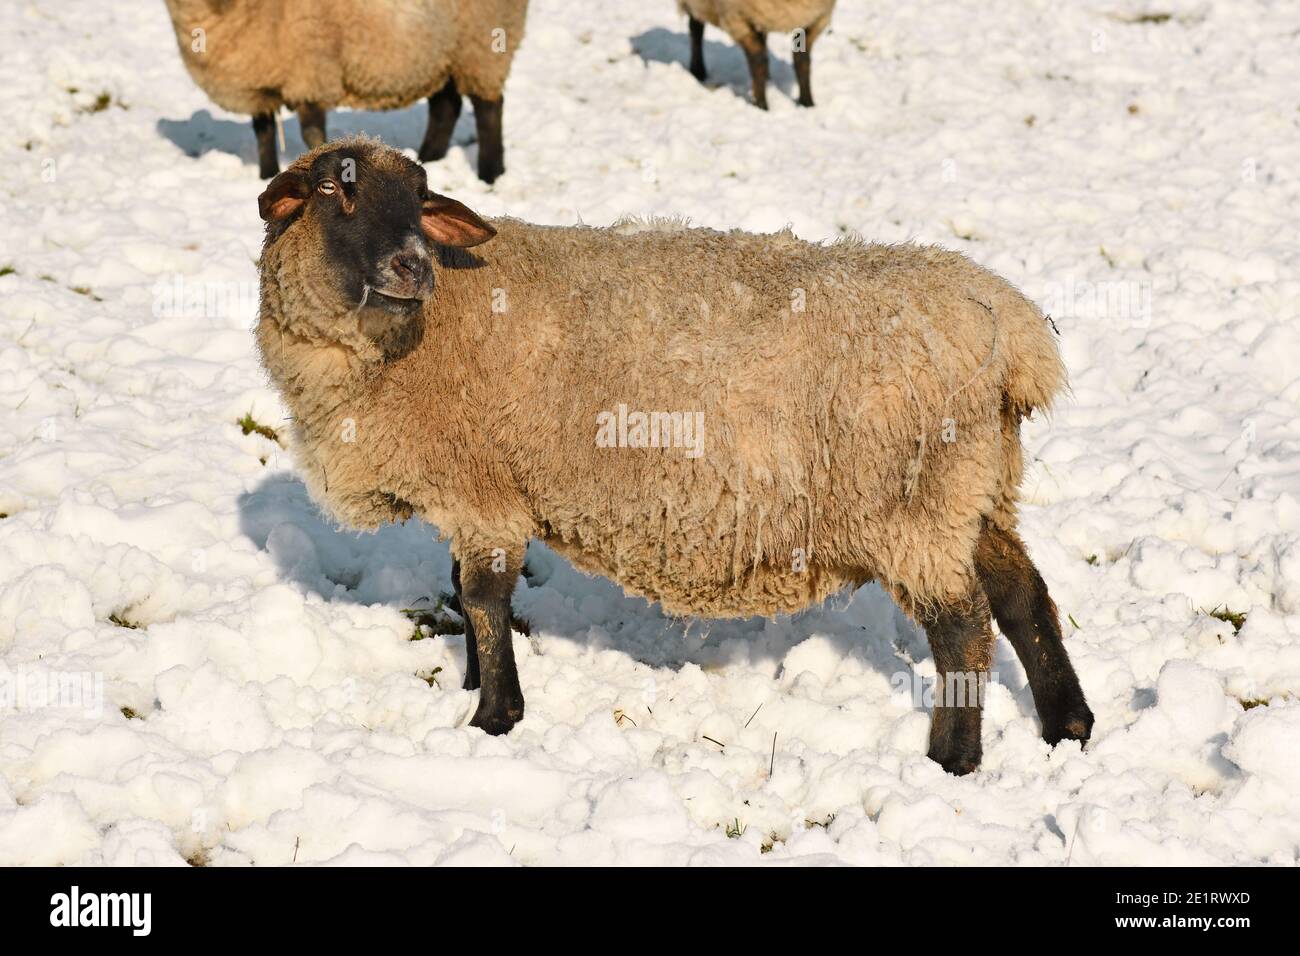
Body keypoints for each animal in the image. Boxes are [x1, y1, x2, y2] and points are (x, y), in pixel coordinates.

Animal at [161, 0, 528, 182]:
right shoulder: (260, 88)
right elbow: (263, 132)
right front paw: (266, 176)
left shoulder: (311, 72)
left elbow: (312, 135)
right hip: (439, 55)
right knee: (446, 106)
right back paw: (429, 159)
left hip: (479, 44)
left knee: (488, 108)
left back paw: (490, 174)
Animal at [254, 138, 1094, 774]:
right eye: (333, 190)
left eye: (422, 197)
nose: (414, 265)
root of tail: (1014, 333)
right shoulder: (471, 486)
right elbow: (465, 595)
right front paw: (474, 685)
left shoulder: (482, 488)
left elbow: (483, 598)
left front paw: (495, 716)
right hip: (972, 486)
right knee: (1022, 596)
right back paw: (1068, 725)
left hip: (909, 503)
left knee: (962, 626)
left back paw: (952, 758)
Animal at [677, 0, 837, 108]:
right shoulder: (739, 18)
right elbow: (758, 62)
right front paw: (761, 105)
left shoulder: (814, 19)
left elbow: (802, 62)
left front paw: (807, 103)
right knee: (696, 27)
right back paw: (698, 71)